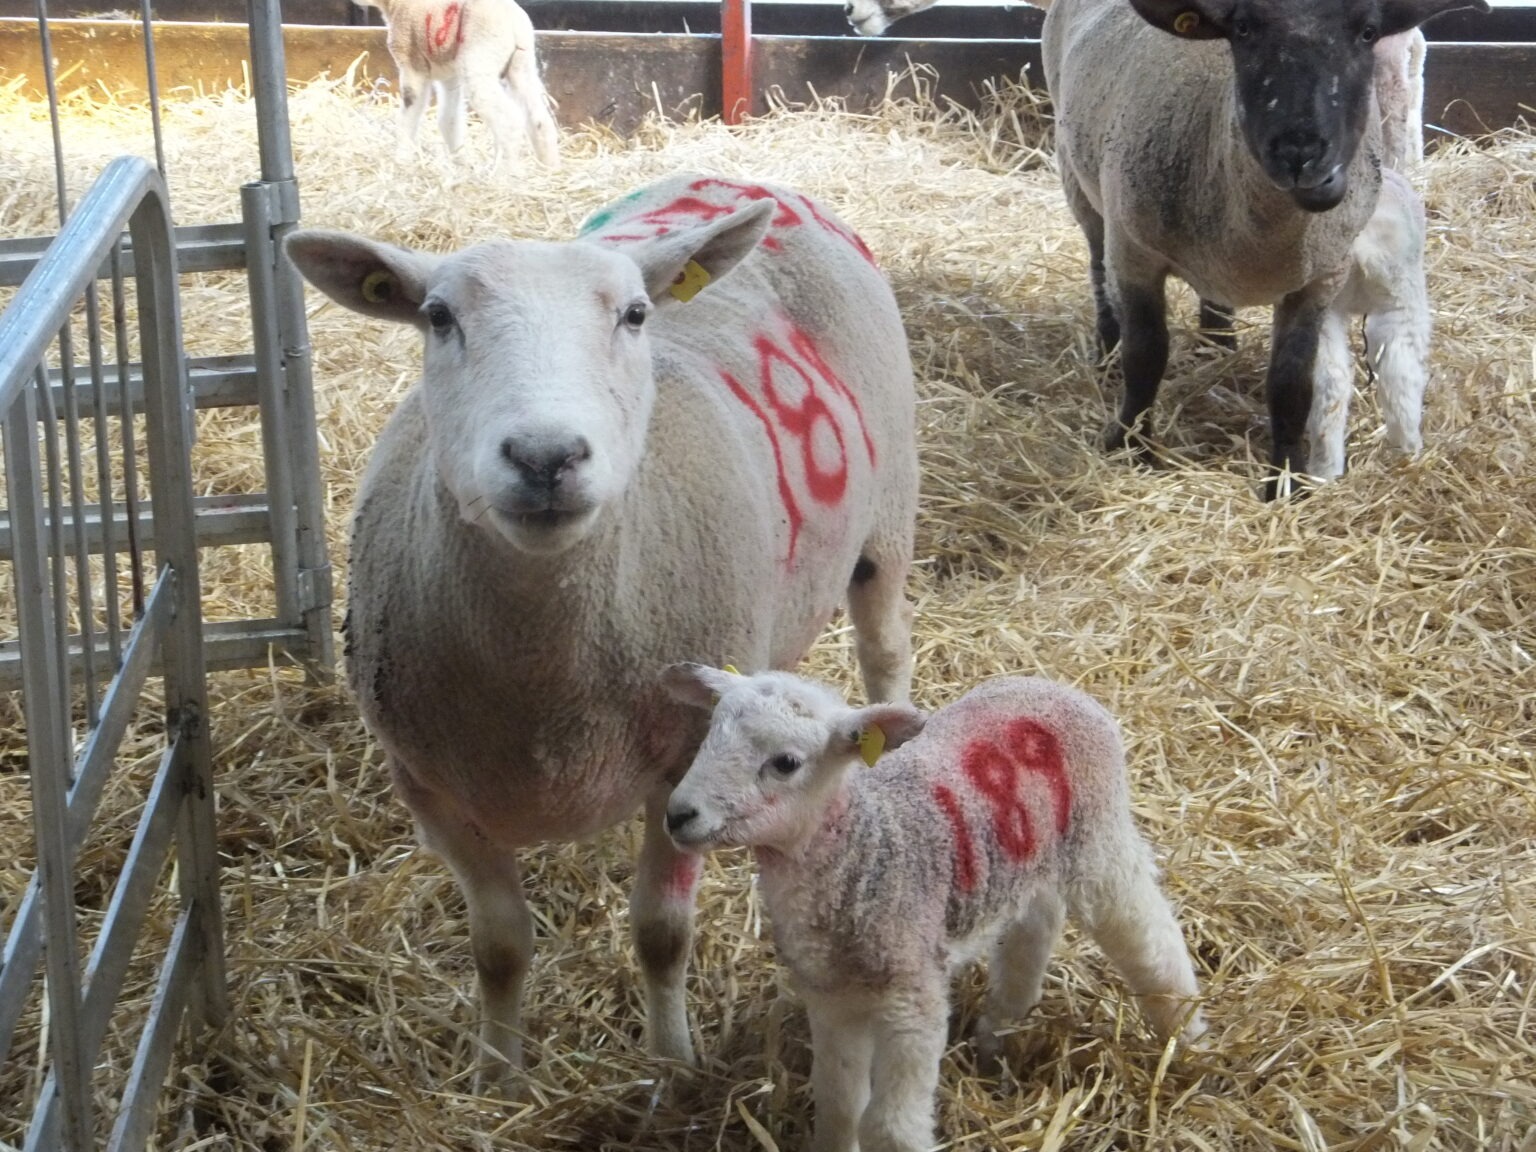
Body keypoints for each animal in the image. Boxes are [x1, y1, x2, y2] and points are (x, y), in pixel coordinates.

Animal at [282, 174, 918, 1093]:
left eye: (636, 315)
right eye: (437, 316)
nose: (545, 456)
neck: (542, 660)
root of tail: (741, 179)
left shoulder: (687, 766)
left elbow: (661, 933)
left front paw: (670, 1065)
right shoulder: (430, 789)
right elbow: (499, 945)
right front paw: (497, 1078)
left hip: (888, 519)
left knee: (885, 650)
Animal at [357, 0, 560, 168]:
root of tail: (512, 21)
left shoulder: (412, 64)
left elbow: (408, 115)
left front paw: (402, 160)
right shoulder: (449, 74)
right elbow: (449, 118)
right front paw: (459, 161)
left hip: (480, 60)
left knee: (509, 121)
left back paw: (504, 174)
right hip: (522, 64)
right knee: (539, 118)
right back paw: (548, 168)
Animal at [662, 665, 1206, 1152]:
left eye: (786, 762)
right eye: (709, 735)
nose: (678, 814)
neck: (864, 849)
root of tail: (1057, 687)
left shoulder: (912, 1001)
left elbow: (890, 1130)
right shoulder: (833, 999)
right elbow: (838, 1106)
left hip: (1098, 836)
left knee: (1151, 938)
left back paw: (1187, 1038)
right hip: (1029, 859)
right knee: (1035, 927)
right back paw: (998, 1036)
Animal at [1042, 0, 1484, 497]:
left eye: (1369, 32)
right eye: (1243, 28)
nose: (1302, 154)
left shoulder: (1320, 279)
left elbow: (1293, 382)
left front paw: (1286, 481)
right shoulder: (1135, 253)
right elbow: (1146, 357)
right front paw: (1130, 446)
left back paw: (1216, 346)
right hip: (1078, 179)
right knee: (1098, 266)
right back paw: (1107, 354)